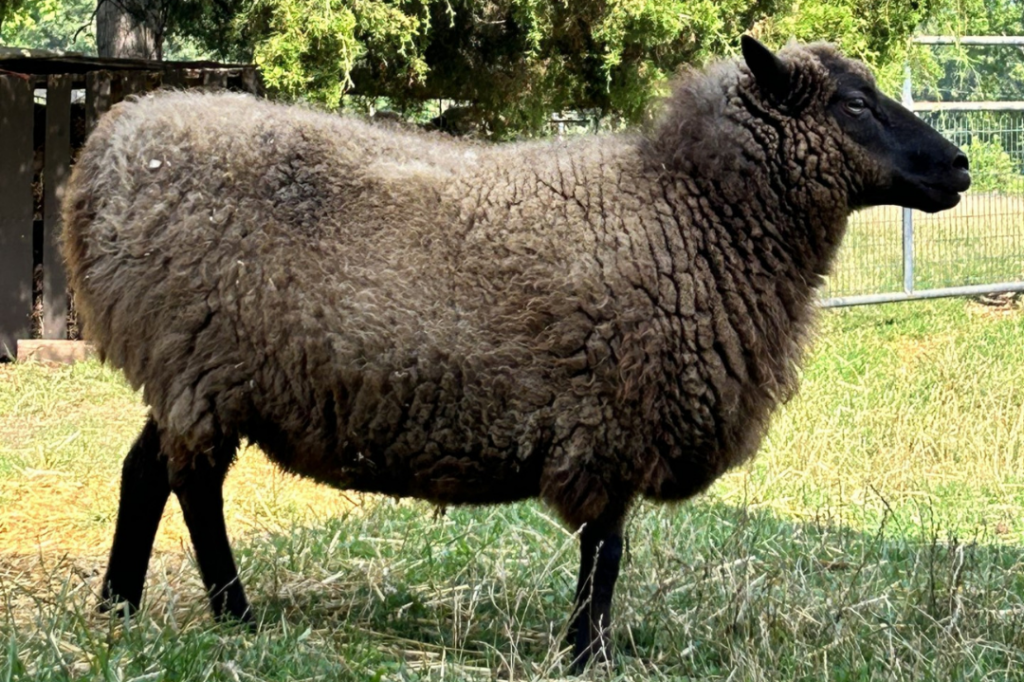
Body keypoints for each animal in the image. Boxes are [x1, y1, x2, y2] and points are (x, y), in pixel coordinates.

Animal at [61, 35, 970, 668]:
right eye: (853, 105)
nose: (959, 165)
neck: (690, 209)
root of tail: (109, 150)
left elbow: (604, 551)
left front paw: (589, 649)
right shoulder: (614, 420)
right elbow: (606, 551)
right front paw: (587, 654)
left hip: (190, 374)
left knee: (144, 470)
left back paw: (118, 608)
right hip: (203, 364)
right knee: (193, 485)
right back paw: (235, 614)